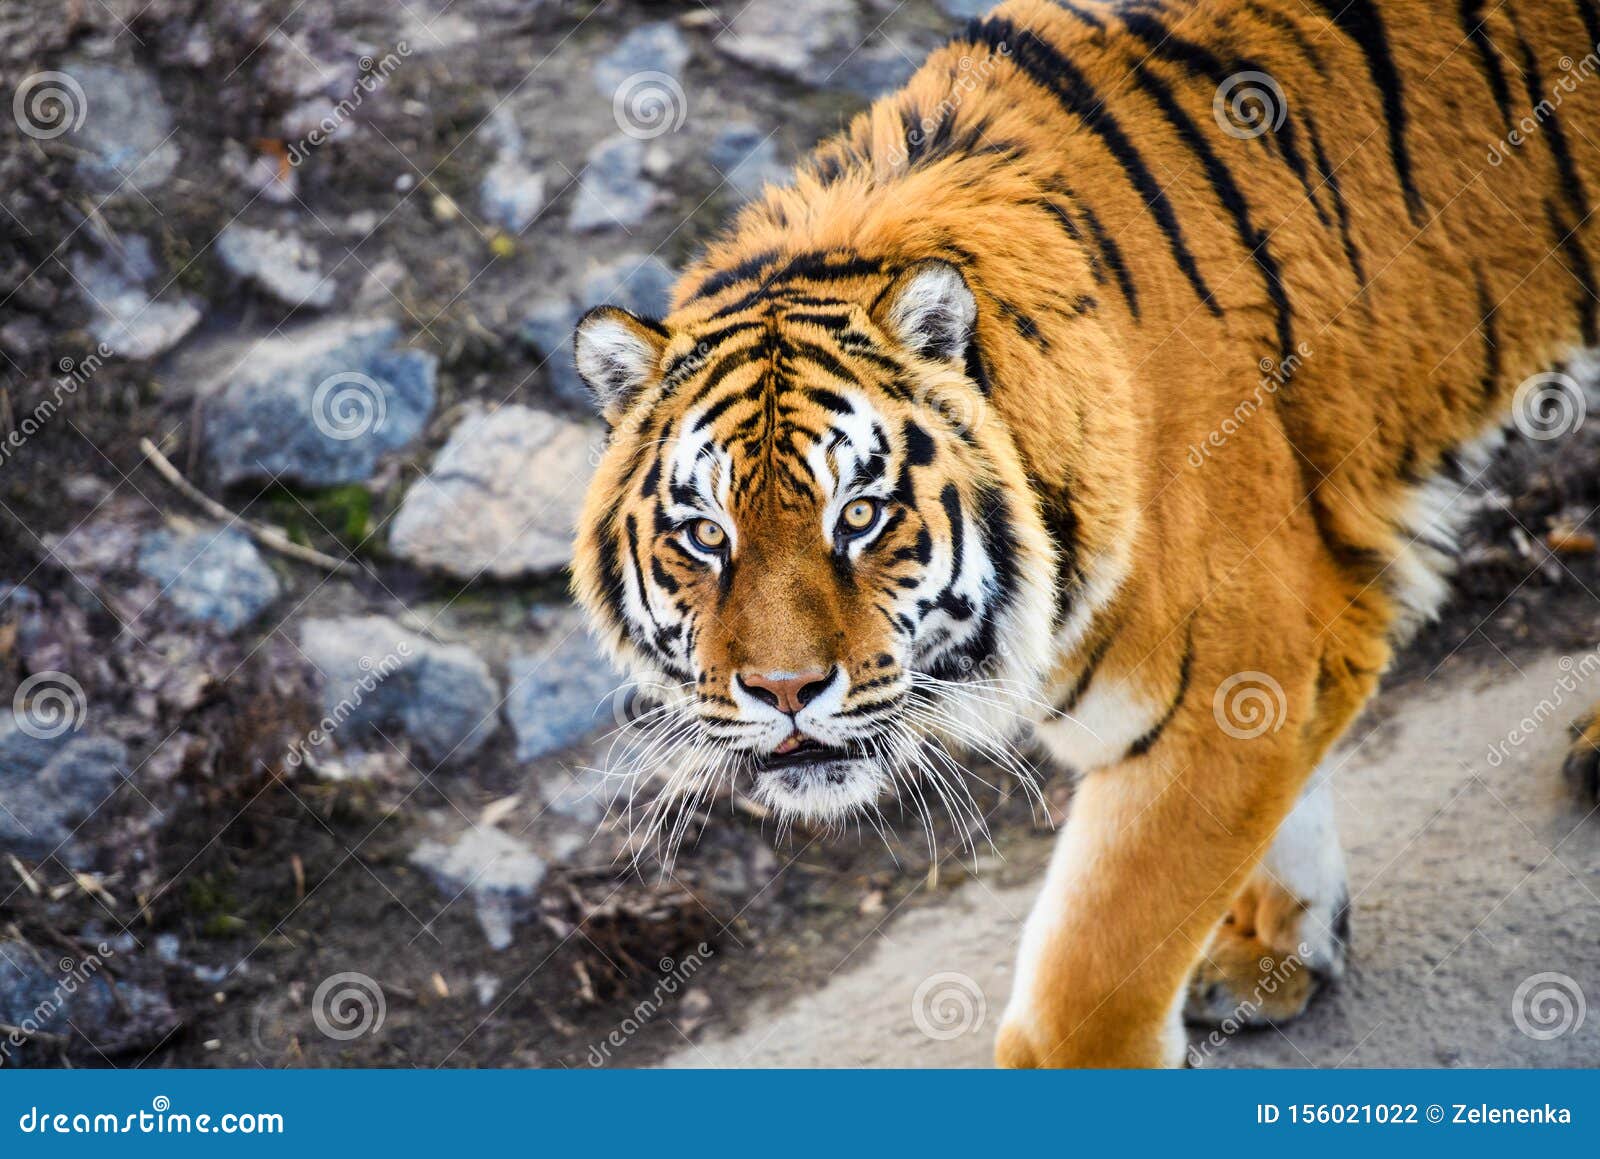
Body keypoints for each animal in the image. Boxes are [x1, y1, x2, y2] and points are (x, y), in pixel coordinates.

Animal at [569, 0, 1600, 1067]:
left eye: (859, 513)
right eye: (705, 533)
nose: (783, 691)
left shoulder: (1239, 671)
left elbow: (1090, 981)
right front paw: (1279, 952)